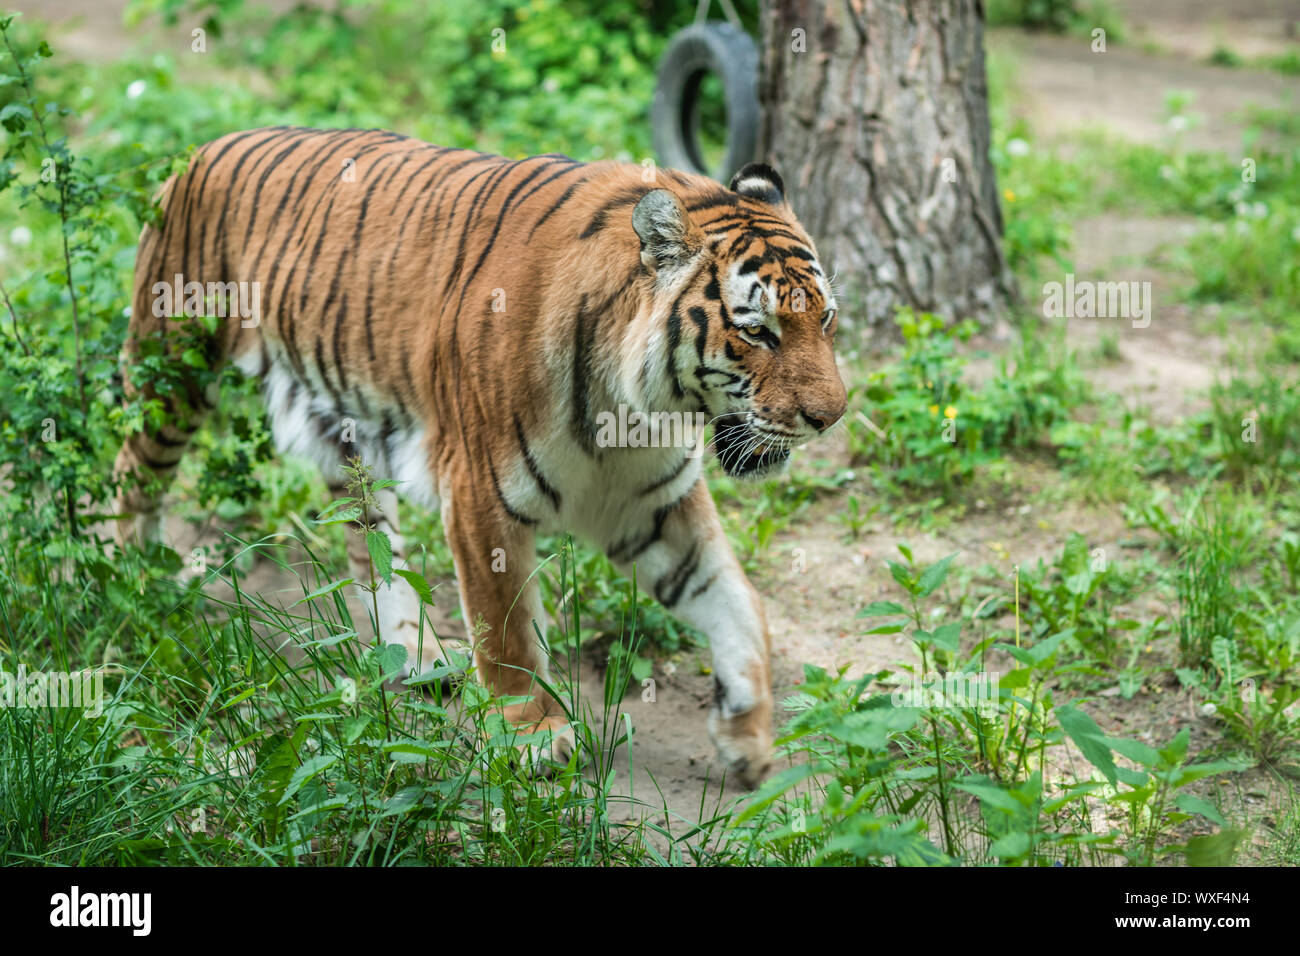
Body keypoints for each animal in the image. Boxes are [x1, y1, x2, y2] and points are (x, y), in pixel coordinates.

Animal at [111, 126, 847, 787]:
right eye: (758, 331)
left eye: (826, 319)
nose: (831, 415)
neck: (634, 411)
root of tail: (204, 147)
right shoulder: (481, 494)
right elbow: (507, 627)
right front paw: (533, 736)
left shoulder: (652, 503)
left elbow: (737, 601)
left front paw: (747, 734)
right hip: (172, 367)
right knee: (132, 475)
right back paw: (137, 585)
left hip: (344, 427)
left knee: (372, 548)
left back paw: (413, 655)